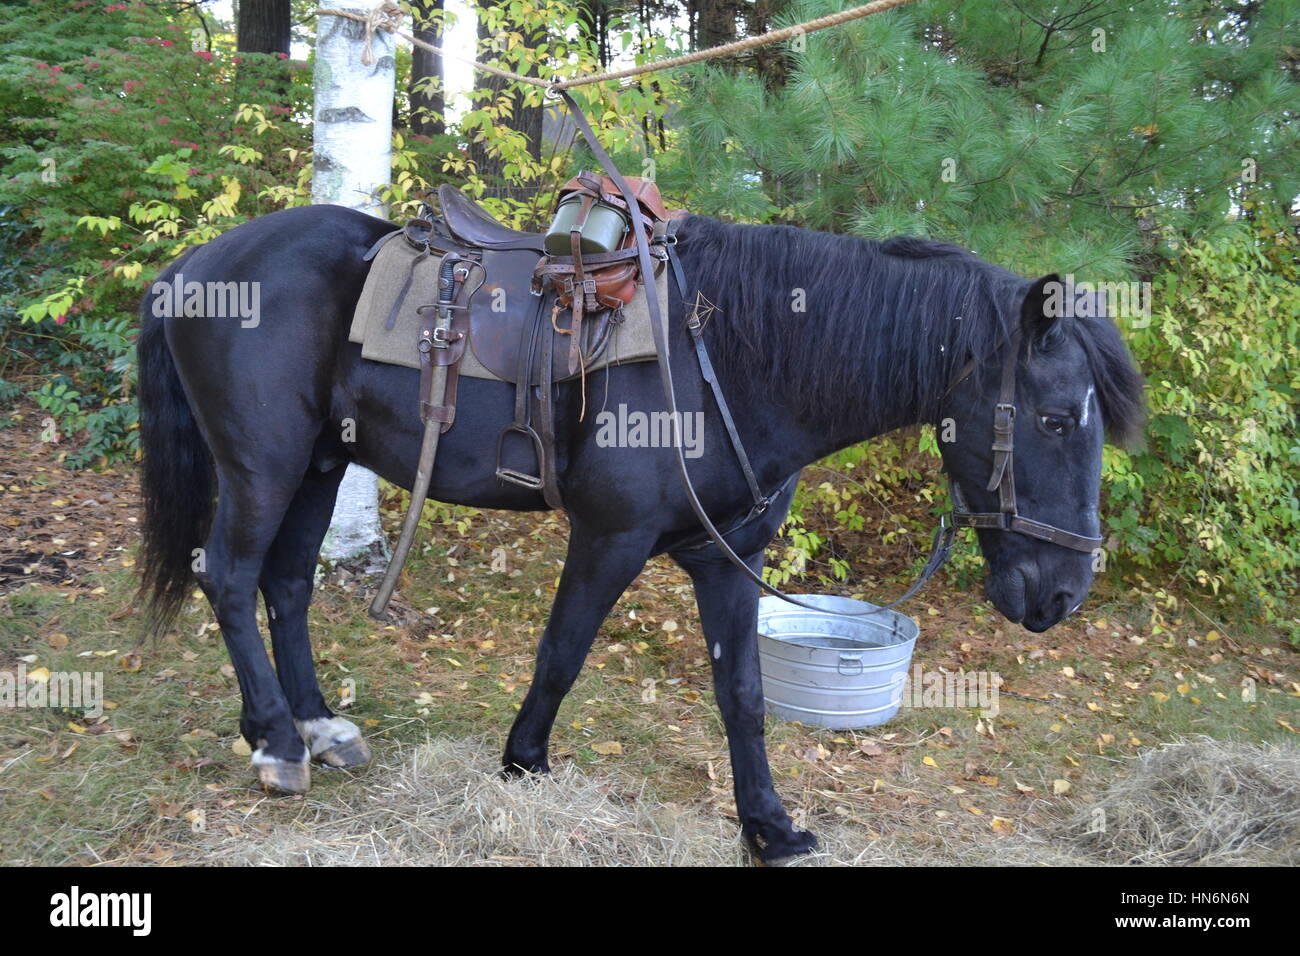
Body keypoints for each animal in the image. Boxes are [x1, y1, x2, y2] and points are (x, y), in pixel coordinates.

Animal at [135, 204, 1144, 862]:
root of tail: (192, 267)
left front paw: (769, 826)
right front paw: (524, 764)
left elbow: (742, 693)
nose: (1063, 594)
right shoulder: (609, 539)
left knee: (287, 584)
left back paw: (315, 725)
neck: (726, 359)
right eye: (1057, 419)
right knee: (231, 578)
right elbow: (562, 653)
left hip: (319, 464)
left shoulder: (730, 558)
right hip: (263, 465)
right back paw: (276, 743)